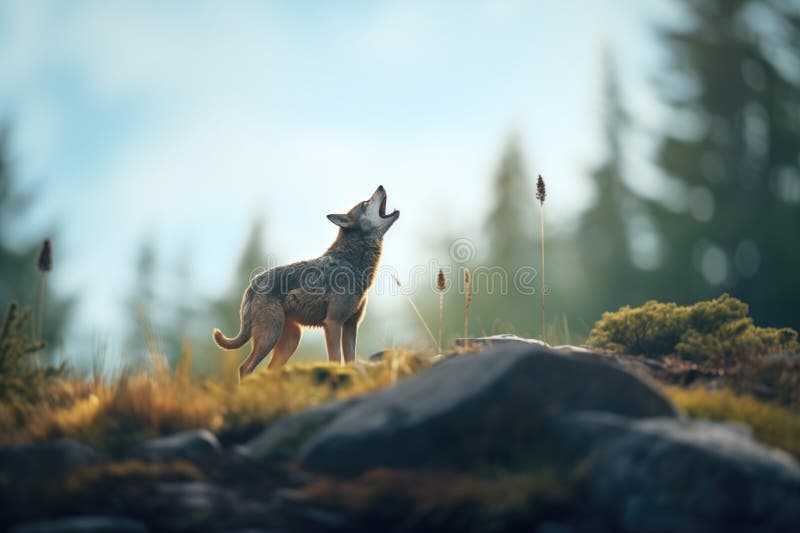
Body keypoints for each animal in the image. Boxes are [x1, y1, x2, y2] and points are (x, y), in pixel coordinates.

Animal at [213, 185, 399, 379]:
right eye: (365, 203)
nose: (381, 186)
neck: (351, 264)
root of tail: (253, 283)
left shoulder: (350, 326)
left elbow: (350, 362)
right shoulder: (332, 323)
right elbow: (335, 360)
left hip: (291, 340)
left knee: (266, 370)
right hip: (269, 337)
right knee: (245, 368)